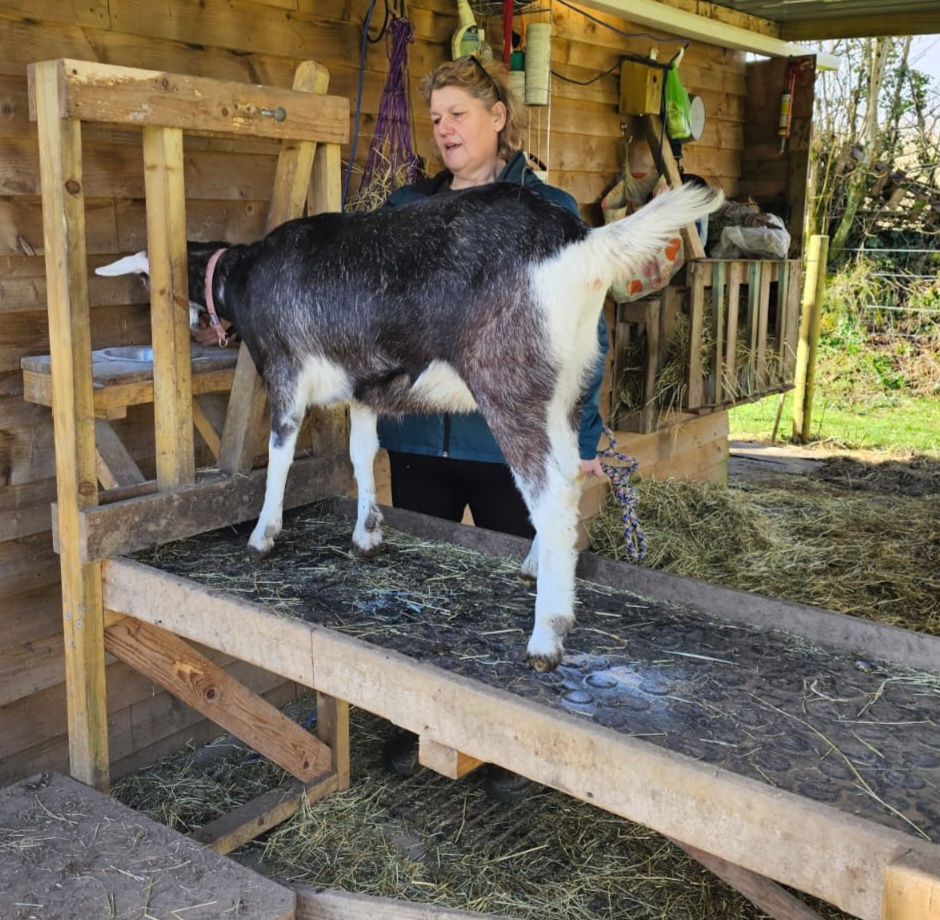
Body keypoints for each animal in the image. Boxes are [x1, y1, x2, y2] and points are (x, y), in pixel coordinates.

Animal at [97, 181, 722, 672]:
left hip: (510, 379)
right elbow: (361, 453)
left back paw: (547, 633)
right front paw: (366, 534)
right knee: (569, 472)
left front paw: (262, 536)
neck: (245, 275)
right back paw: (537, 567)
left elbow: (279, 453)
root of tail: (583, 243)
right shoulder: (363, 387)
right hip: (567, 385)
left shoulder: (285, 371)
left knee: (551, 489)